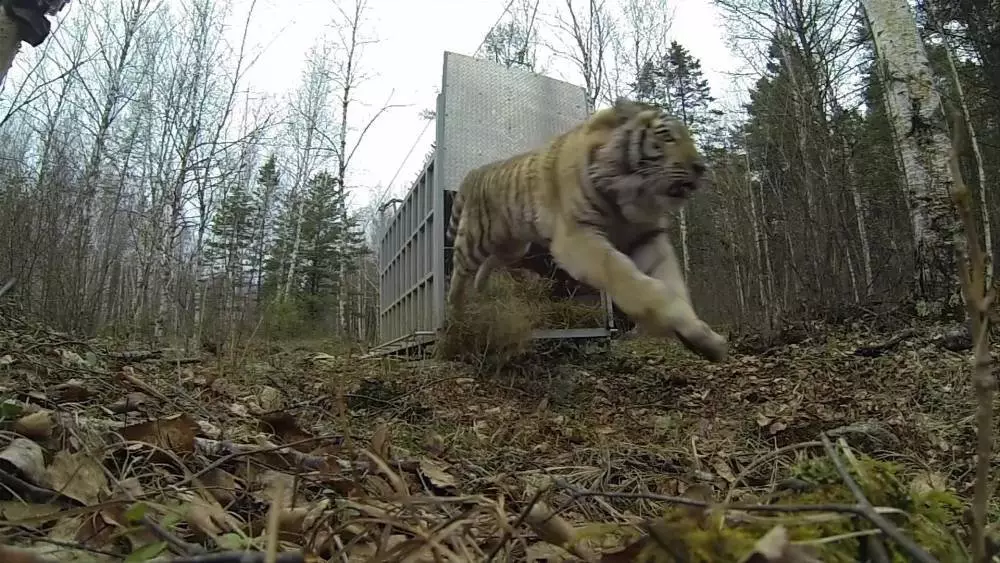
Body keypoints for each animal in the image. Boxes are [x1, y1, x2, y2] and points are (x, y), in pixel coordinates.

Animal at [446, 97, 728, 364]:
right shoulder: (577, 237)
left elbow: (674, 286)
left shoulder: (648, 237)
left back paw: (481, 287)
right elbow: (632, 279)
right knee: (459, 270)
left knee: (491, 261)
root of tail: (474, 172)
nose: (701, 167)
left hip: (514, 245)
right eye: (667, 136)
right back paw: (454, 314)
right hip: (477, 239)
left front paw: (703, 338)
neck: (633, 196)